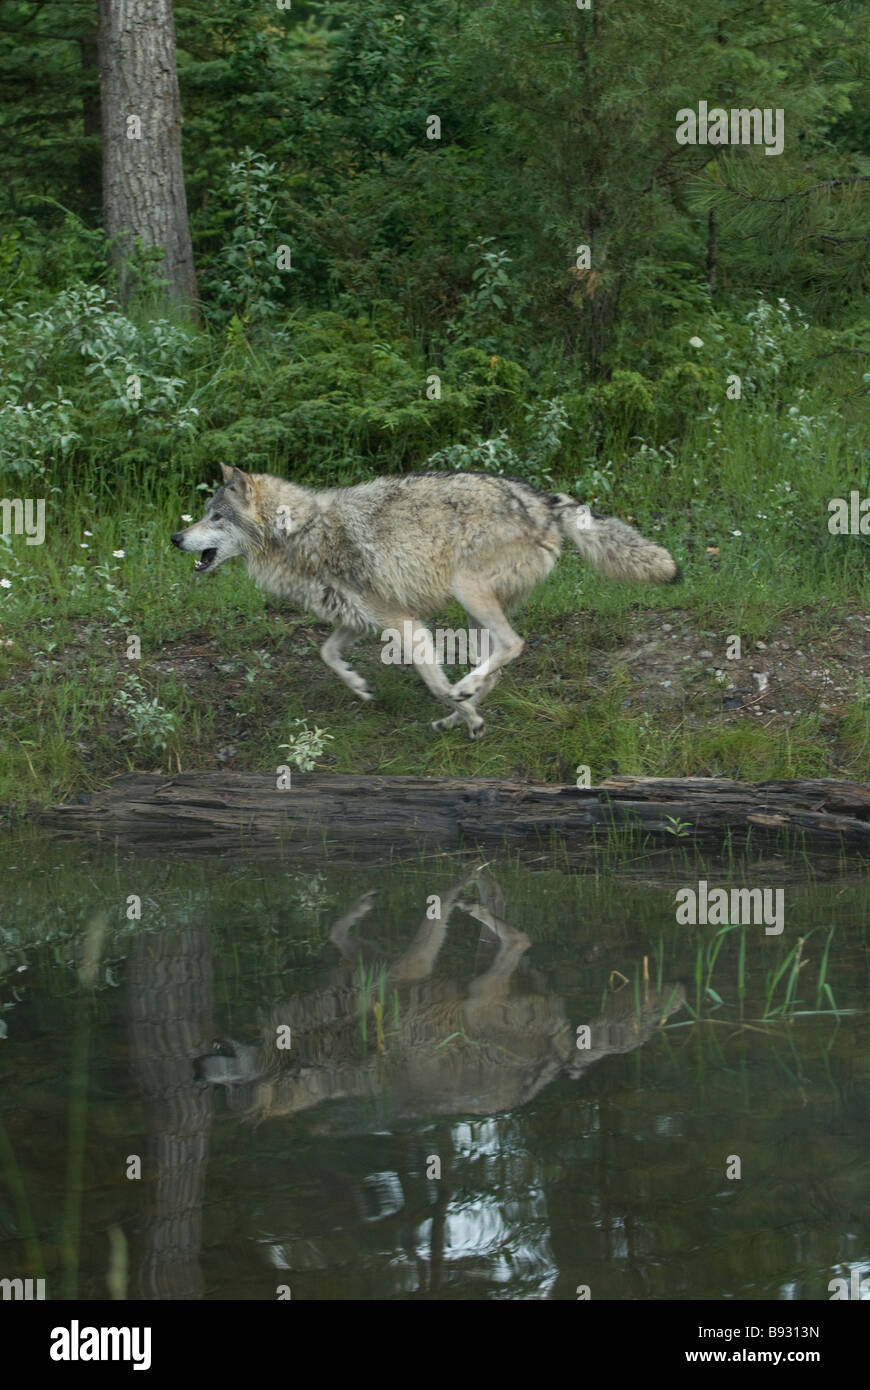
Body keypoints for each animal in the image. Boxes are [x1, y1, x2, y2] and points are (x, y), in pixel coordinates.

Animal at [171, 465, 680, 738]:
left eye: (216, 517)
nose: (176, 538)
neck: (301, 533)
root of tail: (544, 501)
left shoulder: (405, 623)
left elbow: (433, 683)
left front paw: (468, 717)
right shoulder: (358, 620)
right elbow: (326, 653)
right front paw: (359, 686)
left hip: (467, 592)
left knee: (512, 647)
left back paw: (463, 700)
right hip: (472, 614)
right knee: (496, 665)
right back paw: (460, 708)